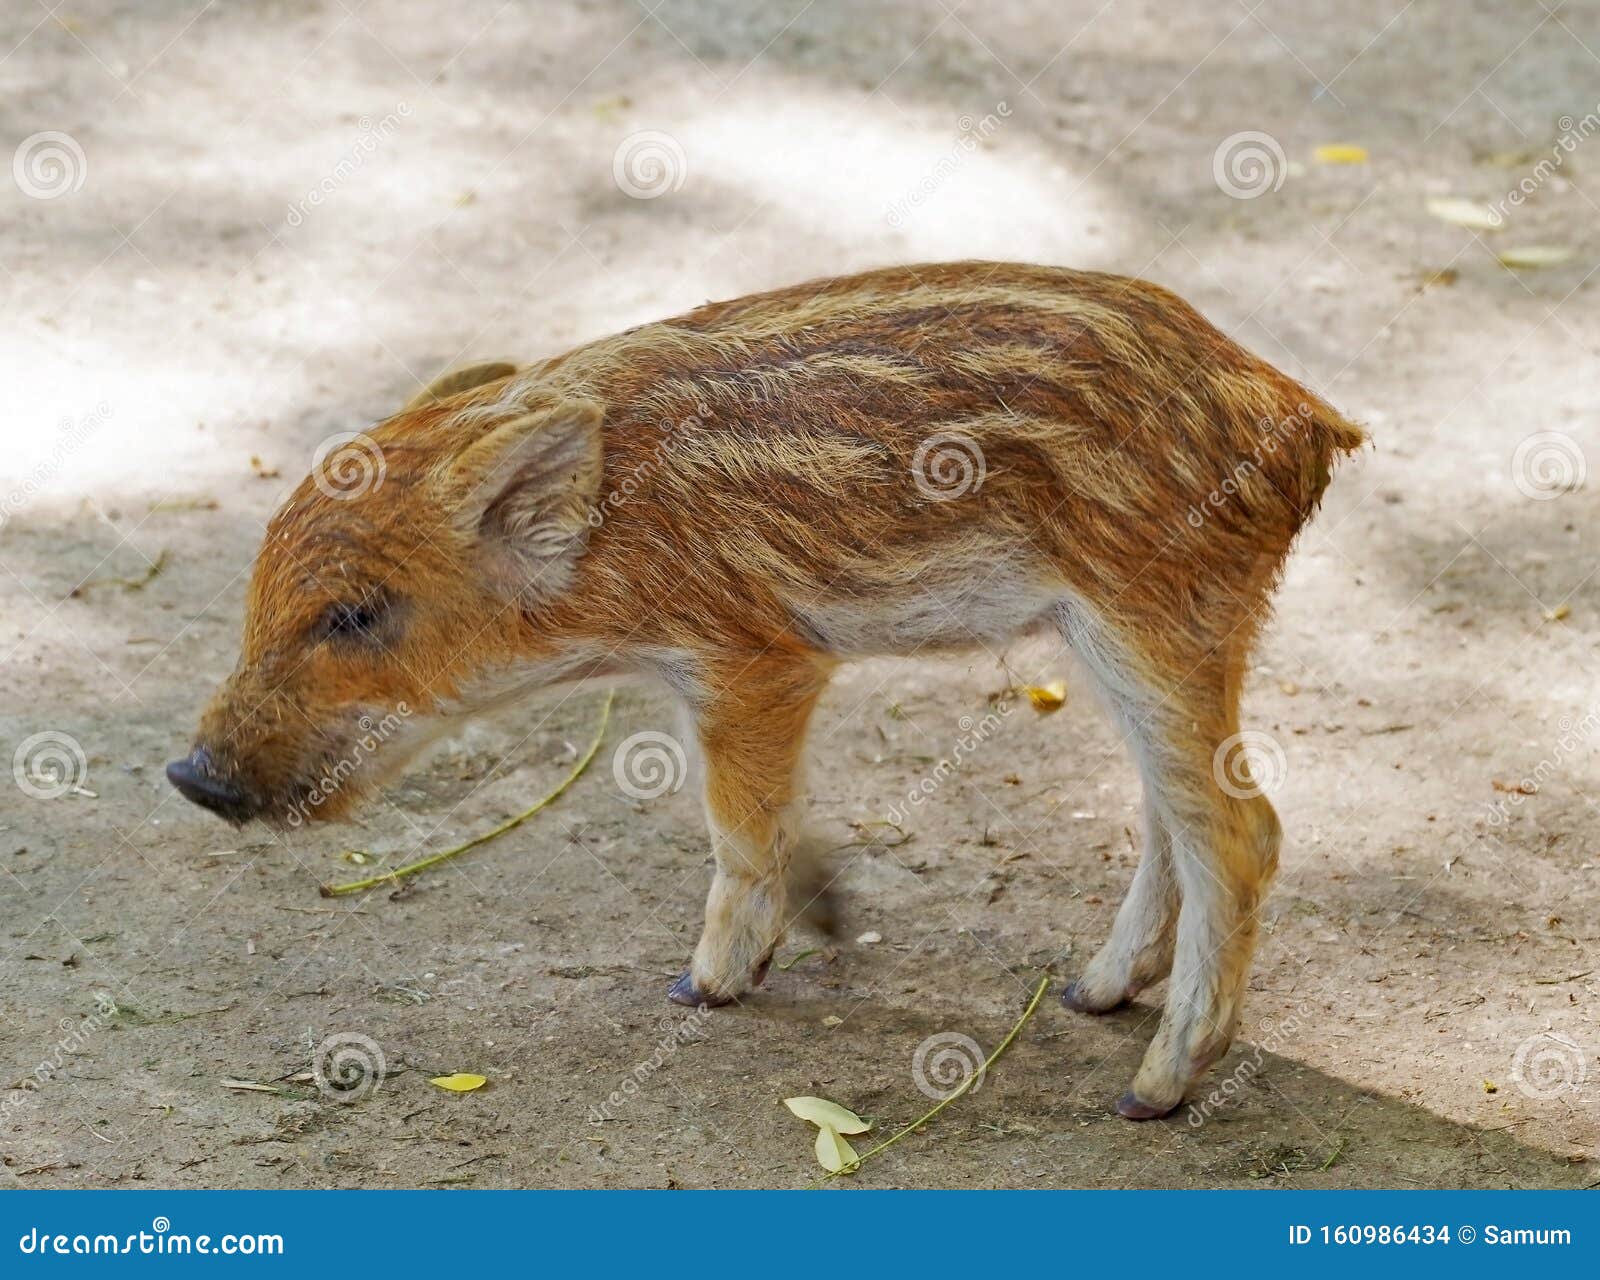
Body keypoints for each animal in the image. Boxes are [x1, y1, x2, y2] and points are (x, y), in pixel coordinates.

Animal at [167, 261, 1364, 1119]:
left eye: (356, 615)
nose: (191, 776)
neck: (610, 559)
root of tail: (1310, 420)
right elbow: (771, 818)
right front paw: (820, 918)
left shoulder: (754, 658)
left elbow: (734, 823)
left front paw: (704, 986)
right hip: (1135, 635)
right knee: (1171, 812)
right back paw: (1090, 992)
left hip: (1150, 617)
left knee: (1243, 831)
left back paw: (1154, 1089)